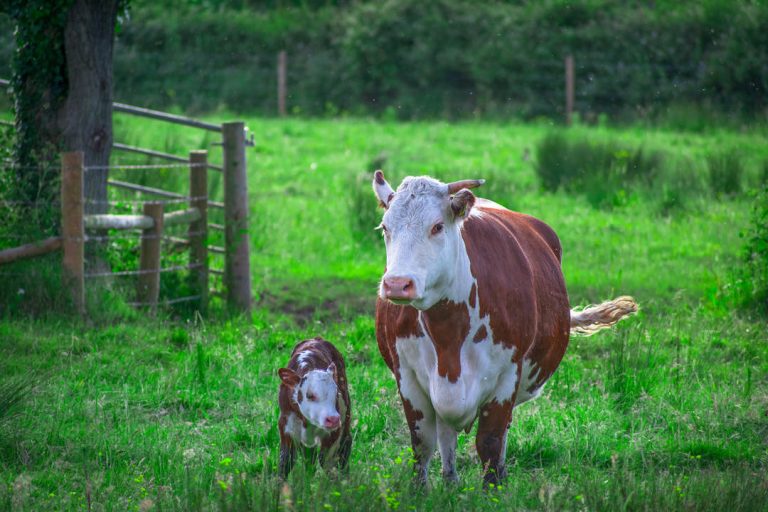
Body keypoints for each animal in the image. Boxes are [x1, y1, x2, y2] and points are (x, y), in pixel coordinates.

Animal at [277, 337, 352, 478]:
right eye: (310, 395)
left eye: (336, 393)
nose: (333, 419)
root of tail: (316, 338)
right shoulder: (286, 427)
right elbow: (285, 462)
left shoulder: (335, 431)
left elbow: (327, 460)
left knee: (345, 444)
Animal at [372, 171, 637, 486]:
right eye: (385, 228)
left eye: (437, 227)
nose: (397, 284)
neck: (448, 333)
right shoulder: (407, 376)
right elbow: (422, 443)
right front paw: (420, 490)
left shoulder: (507, 377)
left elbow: (490, 442)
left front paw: (494, 487)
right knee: (446, 434)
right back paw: (450, 481)